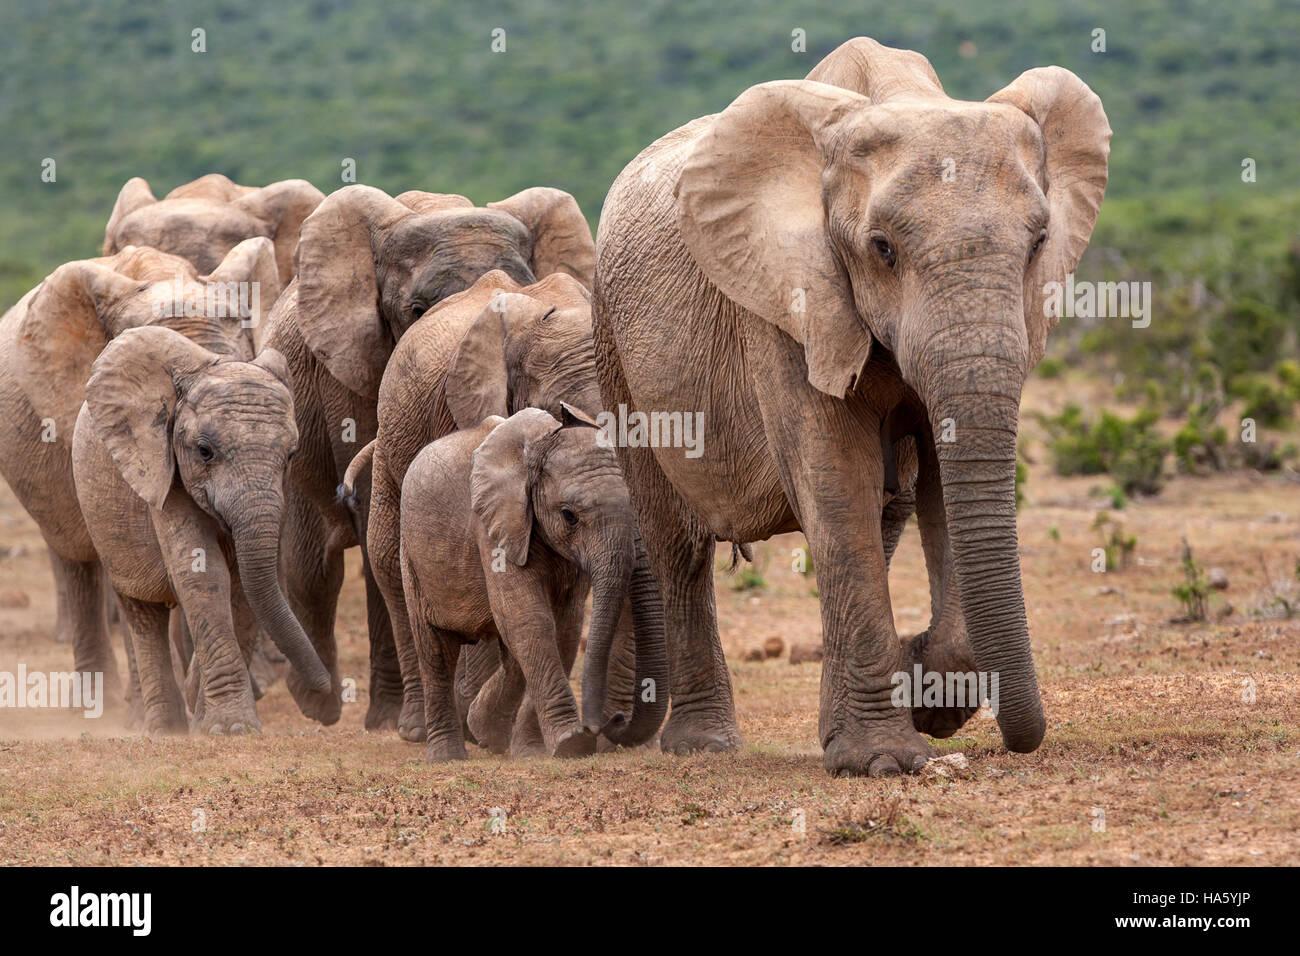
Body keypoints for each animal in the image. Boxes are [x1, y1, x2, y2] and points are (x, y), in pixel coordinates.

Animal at [70, 326, 332, 733]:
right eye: (205, 451)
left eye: (291, 455)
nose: (325, 686)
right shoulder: (163, 471)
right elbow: (202, 572)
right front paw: (233, 729)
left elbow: (243, 582)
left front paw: (211, 717)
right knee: (142, 611)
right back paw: (165, 730)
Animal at [395, 405, 669, 761]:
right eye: (569, 516)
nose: (614, 721)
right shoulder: (491, 527)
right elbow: (530, 619)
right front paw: (572, 742)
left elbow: (563, 626)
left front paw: (536, 751)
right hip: (411, 558)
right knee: (435, 649)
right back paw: (448, 756)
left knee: (511, 655)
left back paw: (487, 735)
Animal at [592, 37, 1110, 775]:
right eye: (882, 249)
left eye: (1039, 243)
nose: (1023, 738)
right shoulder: (791, 300)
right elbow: (835, 474)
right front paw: (884, 759)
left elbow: (932, 484)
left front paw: (925, 698)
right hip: (612, 342)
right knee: (677, 542)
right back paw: (703, 746)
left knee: (883, 518)